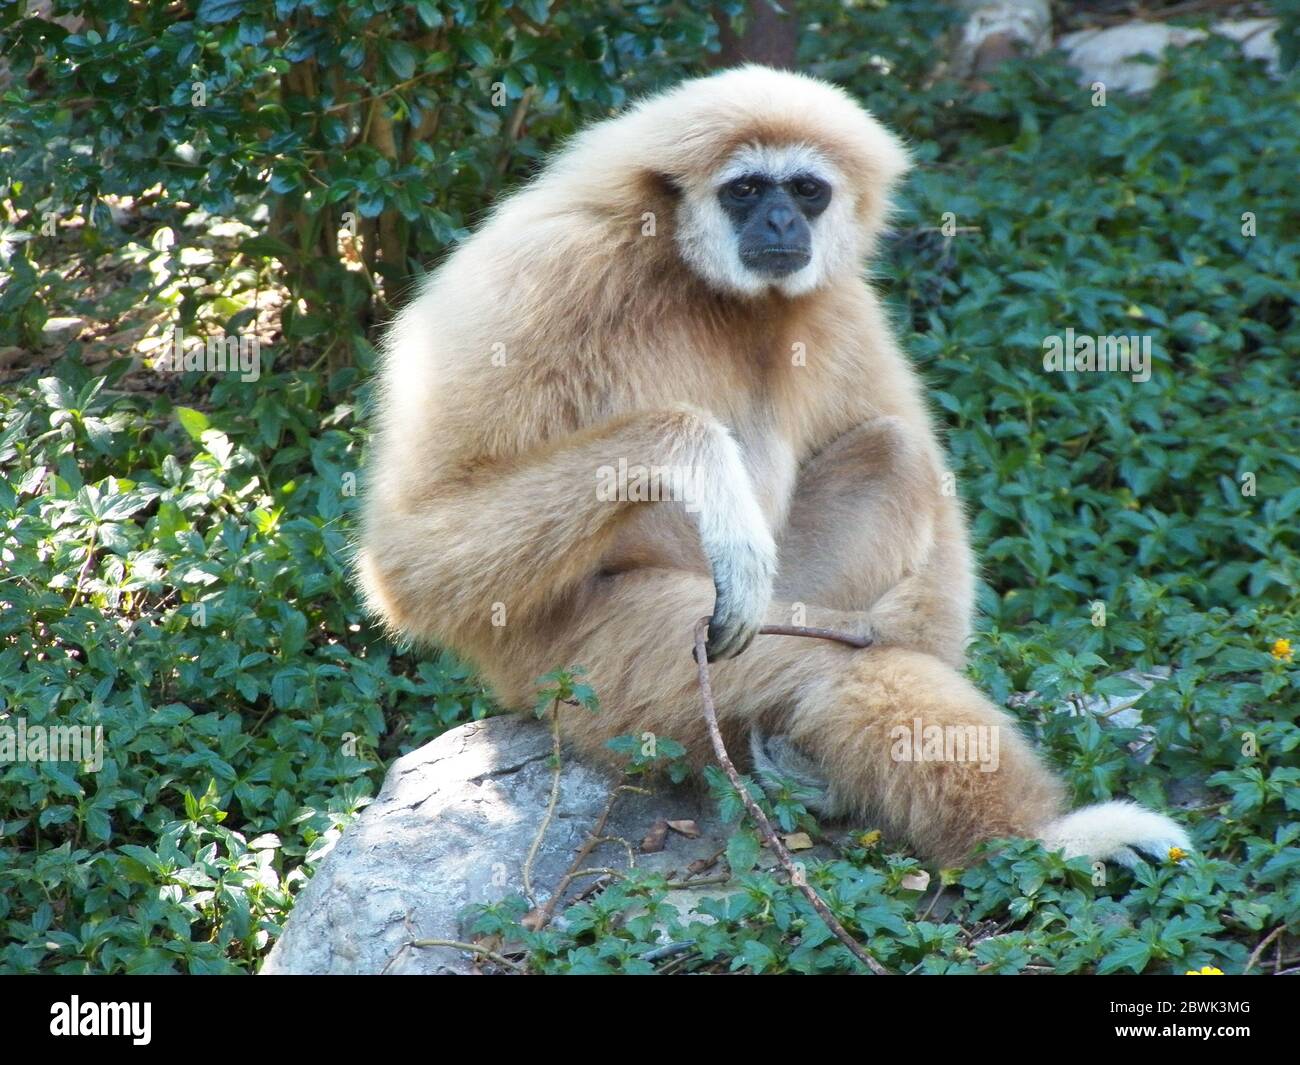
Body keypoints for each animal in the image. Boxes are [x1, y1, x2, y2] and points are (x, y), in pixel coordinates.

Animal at [357, 65, 1190, 868]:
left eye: (808, 190)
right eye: (748, 189)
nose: (784, 221)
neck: (686, 271)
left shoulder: (842, 302)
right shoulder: (539, 276)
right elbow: (411, 552)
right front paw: (698, 463)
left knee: (893, 454)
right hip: (582, 668)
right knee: (828, 664)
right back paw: (1043, 839)